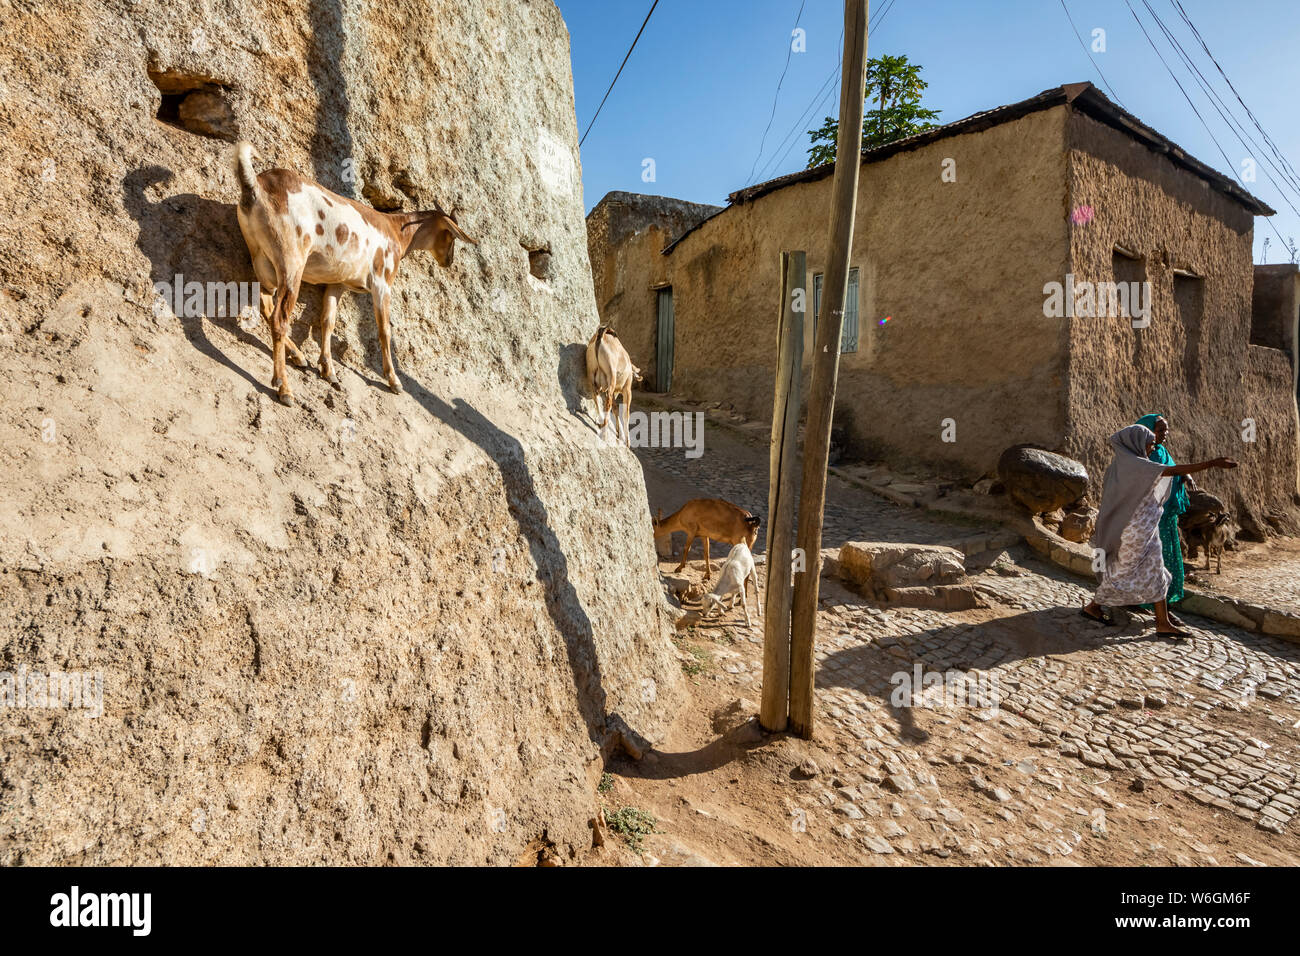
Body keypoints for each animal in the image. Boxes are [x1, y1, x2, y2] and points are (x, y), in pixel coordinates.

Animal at [233, 141, 476, 405]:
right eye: (451, 235)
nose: (449, 261)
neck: (396, 231)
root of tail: (256, 186)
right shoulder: (382, 283)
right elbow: (384, 330)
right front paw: (394, 381)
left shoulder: (337, 283)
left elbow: (327, 321)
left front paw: (328, 370)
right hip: (291, 261)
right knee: (280, 318)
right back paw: (284, 387)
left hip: (262, 261)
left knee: (267, 308)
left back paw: (298, 356)